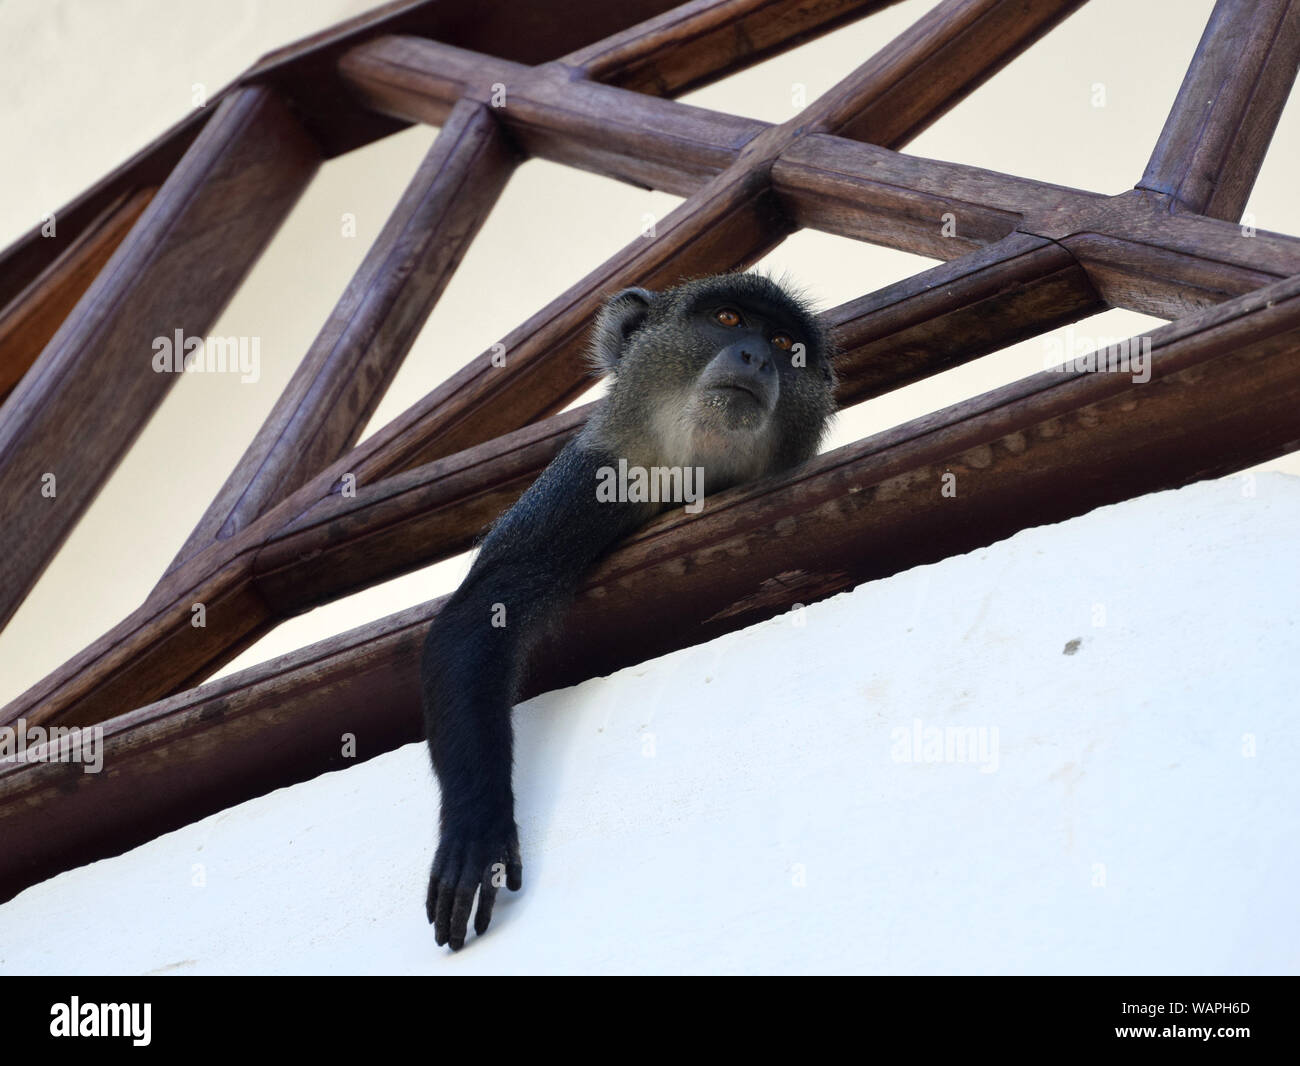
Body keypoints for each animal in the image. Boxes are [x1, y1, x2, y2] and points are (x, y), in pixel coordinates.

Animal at [420, 272, 837, 950]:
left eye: (783, 343)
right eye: (728, 318)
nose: (757, 357)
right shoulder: (592, 476)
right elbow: (480, 613)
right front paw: (476, 828)